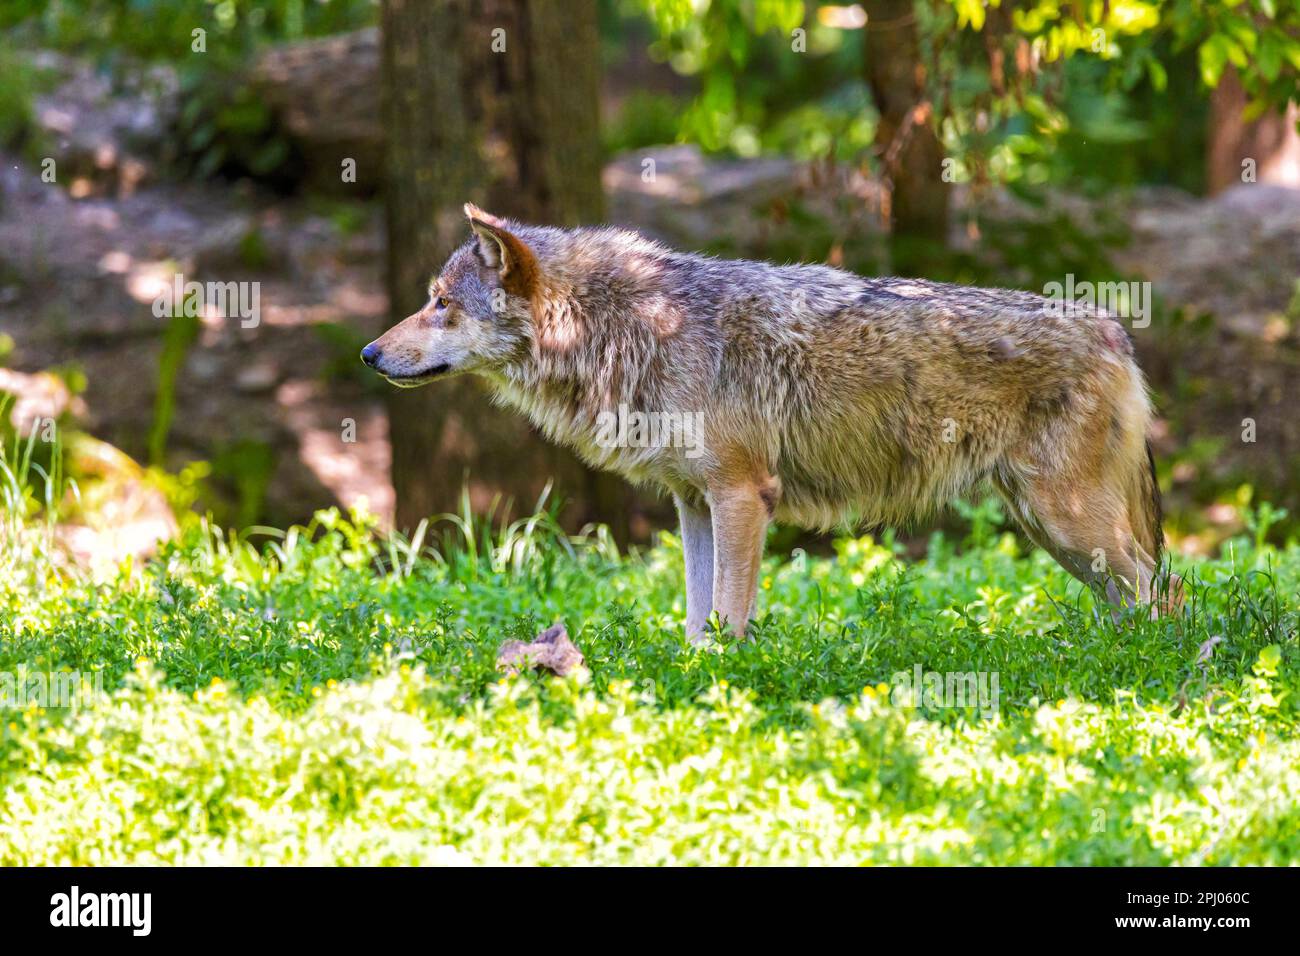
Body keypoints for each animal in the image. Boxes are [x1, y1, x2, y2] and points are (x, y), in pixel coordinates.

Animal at [363, 204, 1175, 640]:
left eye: (441, 303)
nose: (369, 353)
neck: (631, 330)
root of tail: (1114, 328)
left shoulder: (742, 494)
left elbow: (729, 612)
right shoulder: (693, 504)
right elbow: (697, 616)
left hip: (1067, 521)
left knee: (1164, 593)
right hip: (1055, 533)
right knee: (1137, 597)